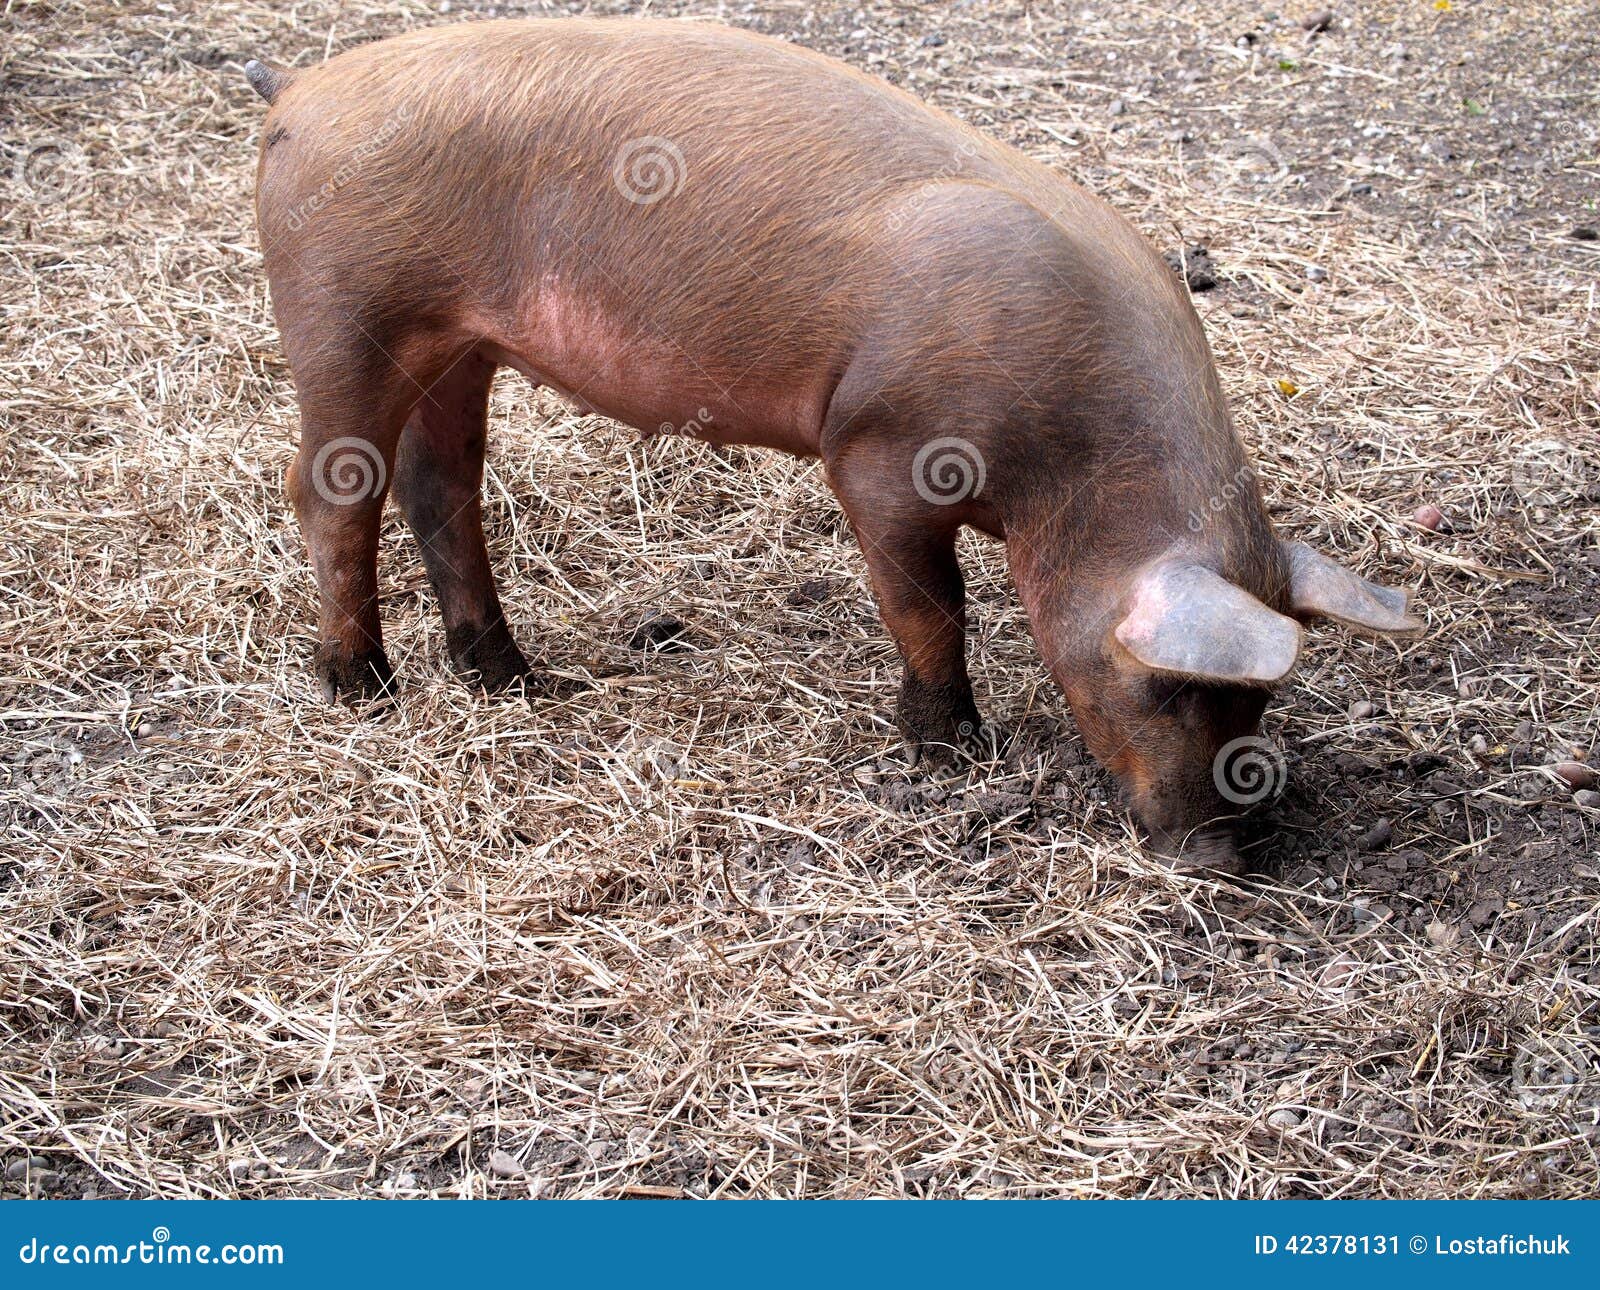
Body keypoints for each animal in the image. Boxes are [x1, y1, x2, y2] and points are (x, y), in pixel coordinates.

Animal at [245, 18, 1421, 870]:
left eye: (1256, 699)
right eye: (1168, 688)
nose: (1220, 860)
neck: (1072, 476)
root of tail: (299, 90)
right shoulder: (878, 452)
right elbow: (930, 605)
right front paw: (950, 750)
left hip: (458, 342)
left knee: (440, 487)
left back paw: (511, 681)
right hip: (341, 303)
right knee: (329, 489)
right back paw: (363, 688)